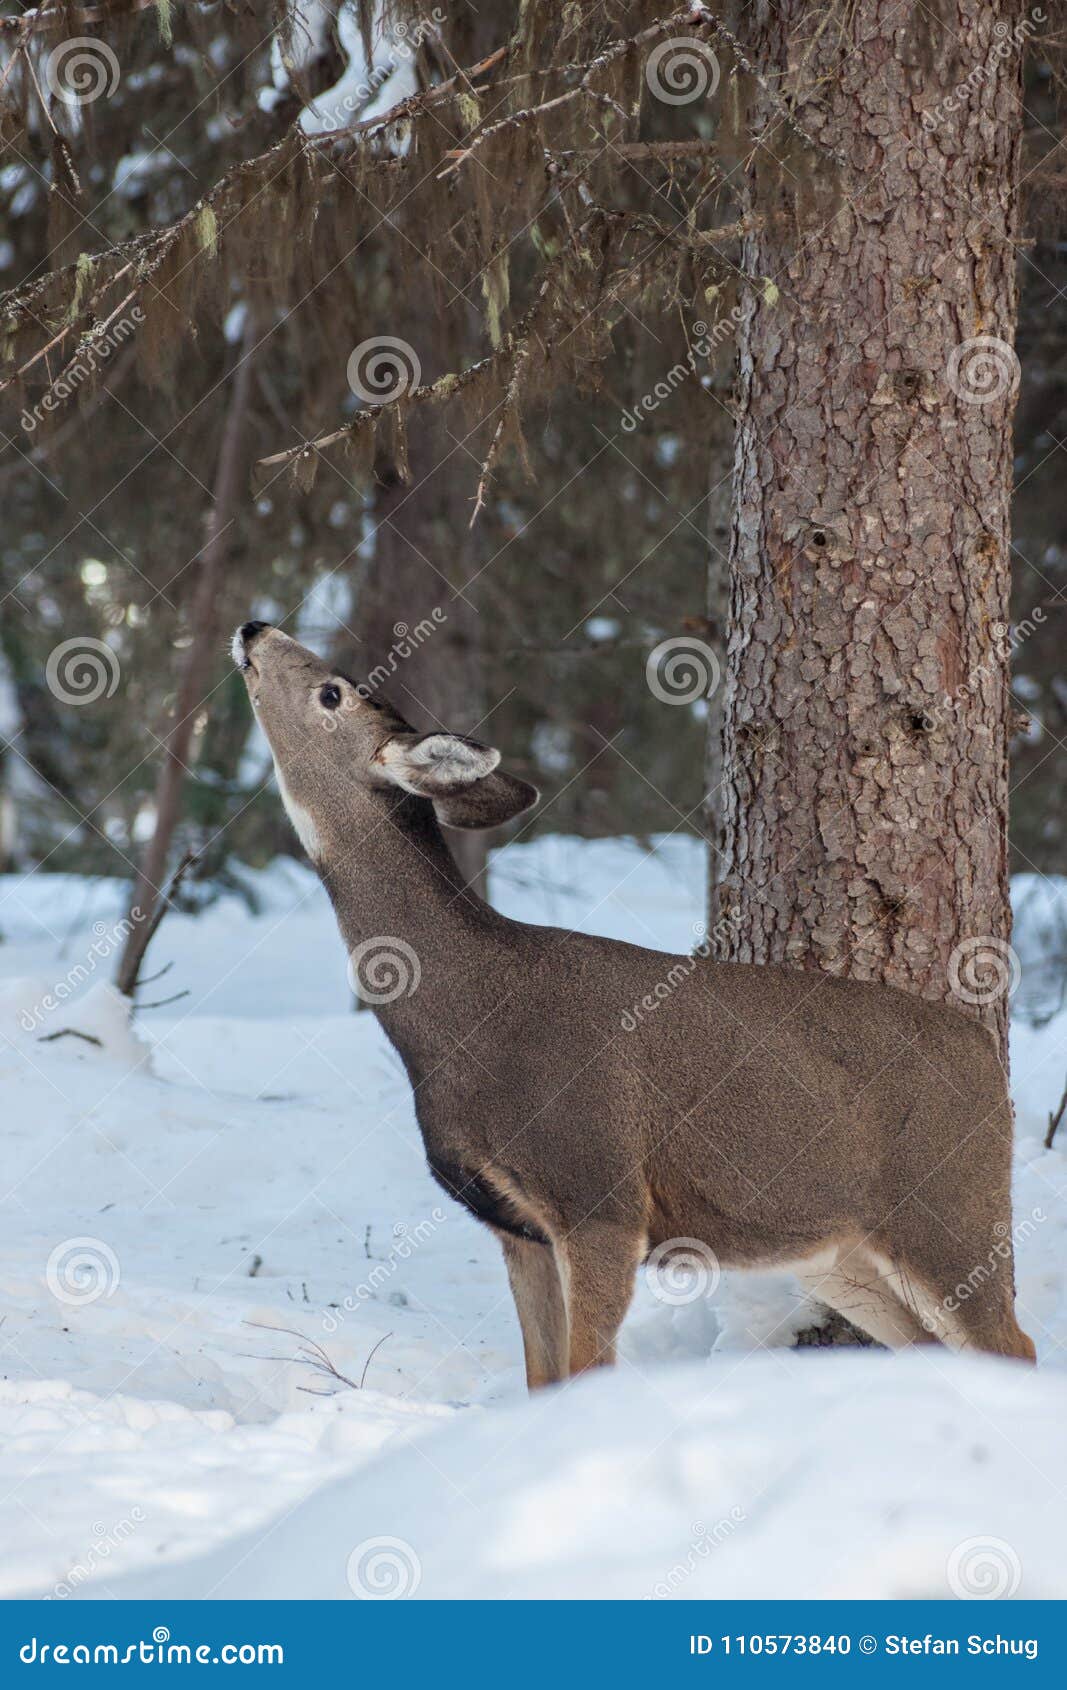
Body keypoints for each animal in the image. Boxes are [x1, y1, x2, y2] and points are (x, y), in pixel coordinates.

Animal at [233, 621, 1036, 1388]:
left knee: (1013, 1344)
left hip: (948, 1210)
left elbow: (589, 1369)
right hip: (843, 1252)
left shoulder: (600, 1193)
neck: (463, 1018)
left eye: (332, 693)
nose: (254, 629)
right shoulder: (515, 1226)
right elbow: (544, 1379)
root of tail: (985, 1055)